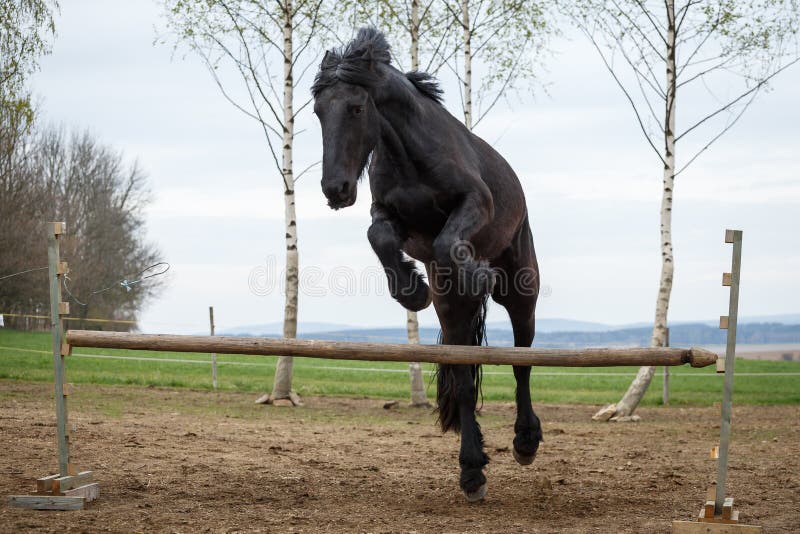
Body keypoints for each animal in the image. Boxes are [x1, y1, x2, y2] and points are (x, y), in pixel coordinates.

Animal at [312, 27, 541, 502]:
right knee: (465, 383)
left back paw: (526, 441)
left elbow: (450, 240)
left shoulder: (474, 203)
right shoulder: (387, 215)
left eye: (357, 107)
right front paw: (411, 290)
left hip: (522, 289)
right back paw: (471, 472)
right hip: (452, 314)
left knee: (522, 361)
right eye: (318, 111)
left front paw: (475, 273)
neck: (408, 152)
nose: (335, 189)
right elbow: (379, 238)